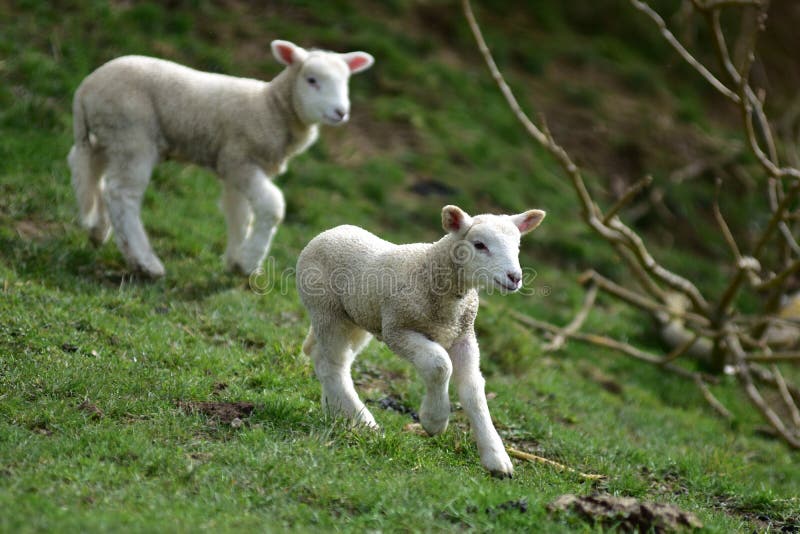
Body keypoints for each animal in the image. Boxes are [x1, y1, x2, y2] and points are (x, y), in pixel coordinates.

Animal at [67, 40, 374, 277]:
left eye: (345, 82)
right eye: (312, 80)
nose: (340, 112)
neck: (271, 108)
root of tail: (85, 88)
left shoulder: (235, 167)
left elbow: (239, 213)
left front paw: (235, 261)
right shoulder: (240, 160)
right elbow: (271, 206)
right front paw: (250, 261)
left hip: (108, 138)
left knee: (91, 173)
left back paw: (98, 232)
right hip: (133, 135)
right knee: (122, 194)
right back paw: (146, 262)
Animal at [296, 204, 546, 477]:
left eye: (517, 246)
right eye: (479, 245)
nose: (514, 277)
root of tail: (329, 232)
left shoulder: (463, 336)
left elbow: (473, 390)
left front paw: (496, 458)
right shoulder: (398, 329)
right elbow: (439, 365)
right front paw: (434, 420)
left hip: (358, 319)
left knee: (325, 358)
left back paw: (337, 413)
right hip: (326, 309)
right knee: (333, 366)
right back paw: (365, 421)